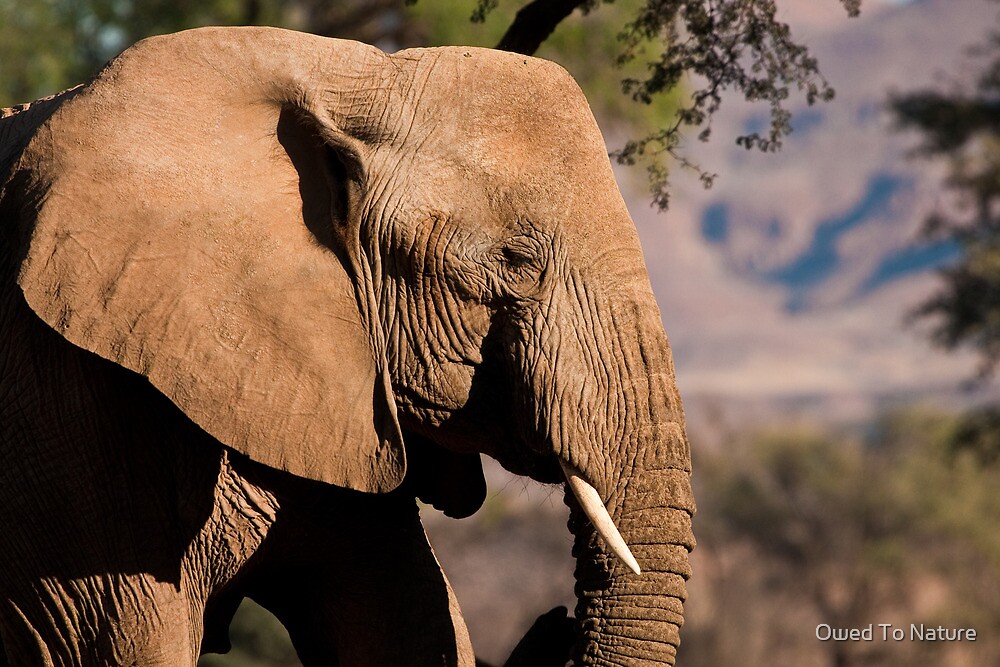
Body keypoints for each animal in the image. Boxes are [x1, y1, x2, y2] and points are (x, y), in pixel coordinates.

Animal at [0, 26, 696, 666]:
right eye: (516, 262)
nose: (556, 622)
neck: (346, 78)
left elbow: (405, 621)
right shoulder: (73, 401)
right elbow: (121, 638)